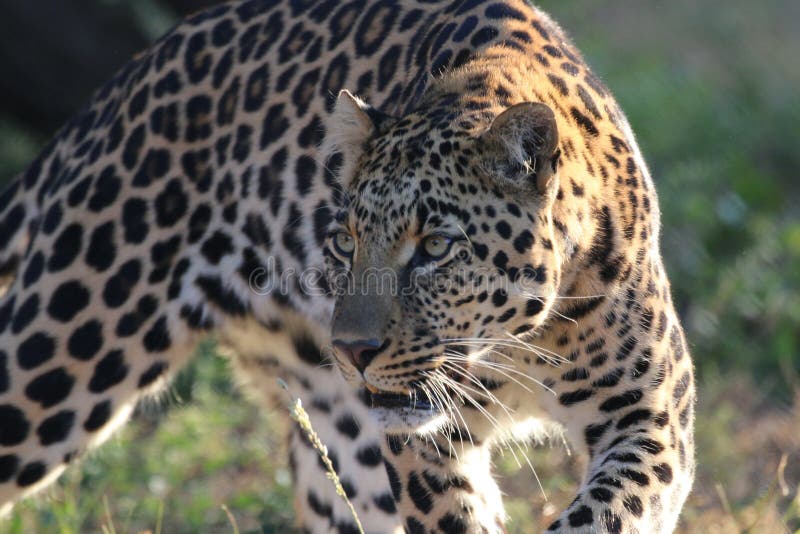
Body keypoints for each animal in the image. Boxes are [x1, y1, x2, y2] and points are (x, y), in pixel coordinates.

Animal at [0, 0, 695, 532]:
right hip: (59, 353)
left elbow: (608, 513)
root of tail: (124, 85)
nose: (352, 351)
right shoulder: (423, 447)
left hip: (340, 444)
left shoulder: (652, 417)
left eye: (434, 247)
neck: (517, 341)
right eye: (344, 242)